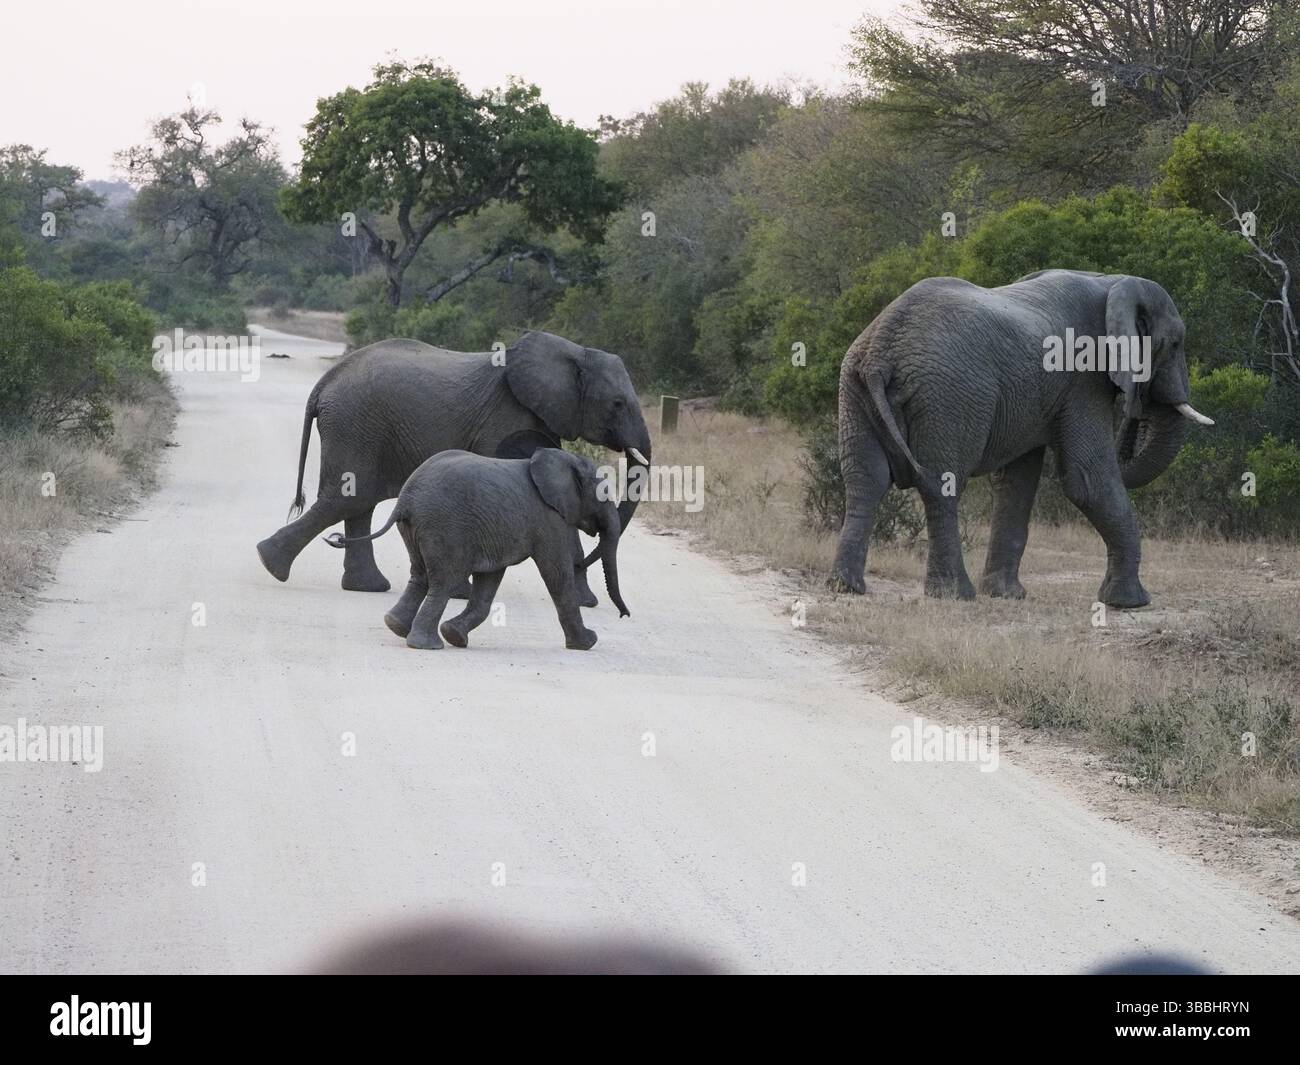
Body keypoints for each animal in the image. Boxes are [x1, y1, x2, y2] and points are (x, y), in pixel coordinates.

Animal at [255, 330, 651, 602]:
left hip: (360, 427)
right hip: (355, 423)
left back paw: (365, 587)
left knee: (357, 500)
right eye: (617, 404)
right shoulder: (506, 418)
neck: (574, 352)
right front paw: (585, 601)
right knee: (346, 498)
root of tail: (326, 380)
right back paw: (272, 565)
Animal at [324, 448, 628, 651]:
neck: (565, 460)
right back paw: (426, 645)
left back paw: (396, 626)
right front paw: (588, 642)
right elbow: (557, 575)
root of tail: (405, 500)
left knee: (420, 576)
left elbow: (489, 580)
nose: (625, 616)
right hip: (443, 528)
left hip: (415, 530)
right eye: (604, 495)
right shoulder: (549, 518)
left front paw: (455, 636)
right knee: (442, 582)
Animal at [829, 269, 1215, 608]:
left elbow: (1017, 482)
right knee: (940, 484)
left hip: (854, 389)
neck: (1111, 281)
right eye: (1175, 343)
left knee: (865, 479)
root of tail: (881, 349)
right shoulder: (1081, 378)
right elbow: (1087, 480)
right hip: (948, 397)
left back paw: (846, 586)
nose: (1137, 403)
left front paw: (1006, 595)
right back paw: (956, 595)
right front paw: (1130, 603)